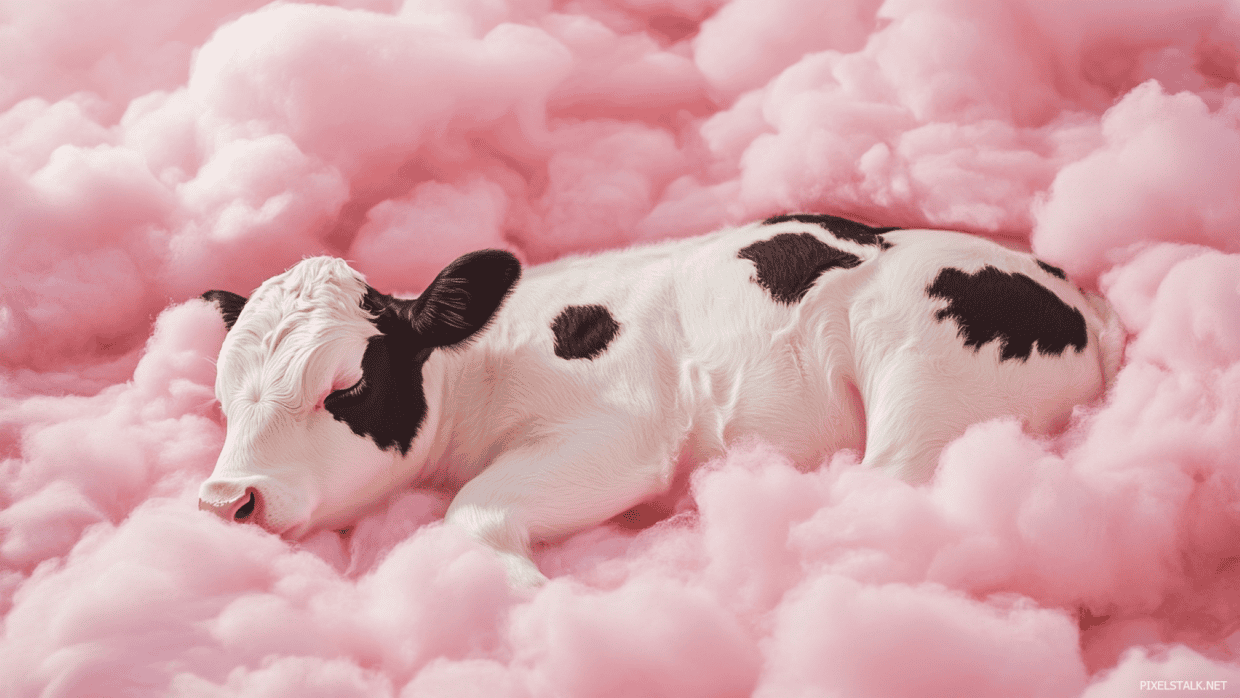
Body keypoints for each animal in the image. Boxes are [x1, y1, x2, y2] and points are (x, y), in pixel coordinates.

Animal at [198, 214, 1124, 586]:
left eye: (347, 382)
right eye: (223, 394)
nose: (226, 501)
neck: (487, 358)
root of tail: (1075, 297)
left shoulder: (622, 431)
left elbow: (472, 510)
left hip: (921, 379)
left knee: (886, 485)